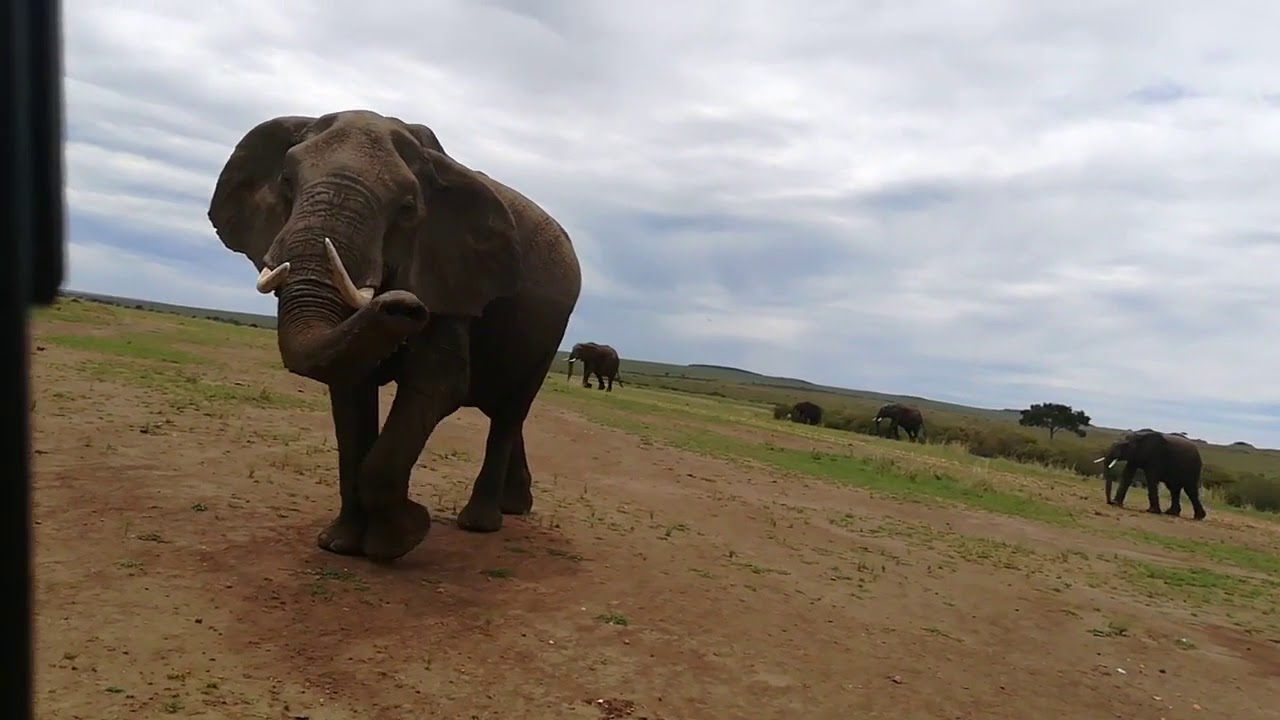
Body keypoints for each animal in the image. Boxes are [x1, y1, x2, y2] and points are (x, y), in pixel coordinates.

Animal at [206, 109, 582, 562]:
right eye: (286, 180)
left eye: (406, 208)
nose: (404, 305)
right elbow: (350, 392)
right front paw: (339, 544)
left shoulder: (449, 278)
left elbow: (438, 384)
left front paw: (398, 540)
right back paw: (514, 507)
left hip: (549, 331)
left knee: (511, 410)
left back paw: (480, 523)